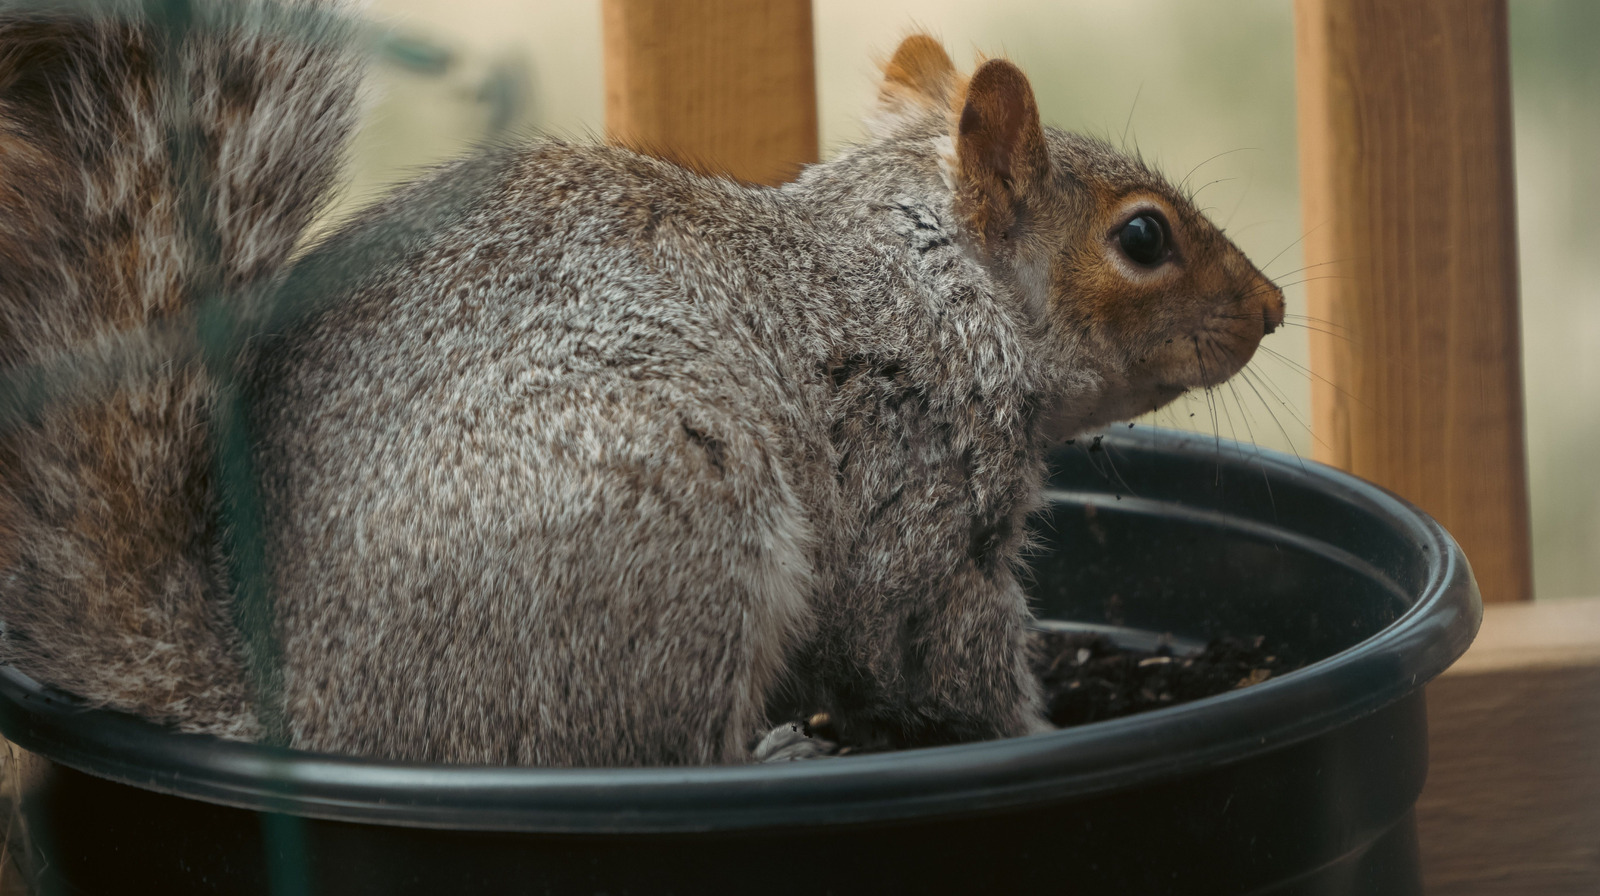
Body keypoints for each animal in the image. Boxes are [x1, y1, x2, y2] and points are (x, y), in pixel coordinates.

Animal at [0, 0, 1284, 766]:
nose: (1273, 306)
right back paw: (771, 754)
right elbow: (932, 641)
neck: (931, 279)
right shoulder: (909, 484)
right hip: (672, 532)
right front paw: (1033, 725)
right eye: (1142, 237)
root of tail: (293, 697)